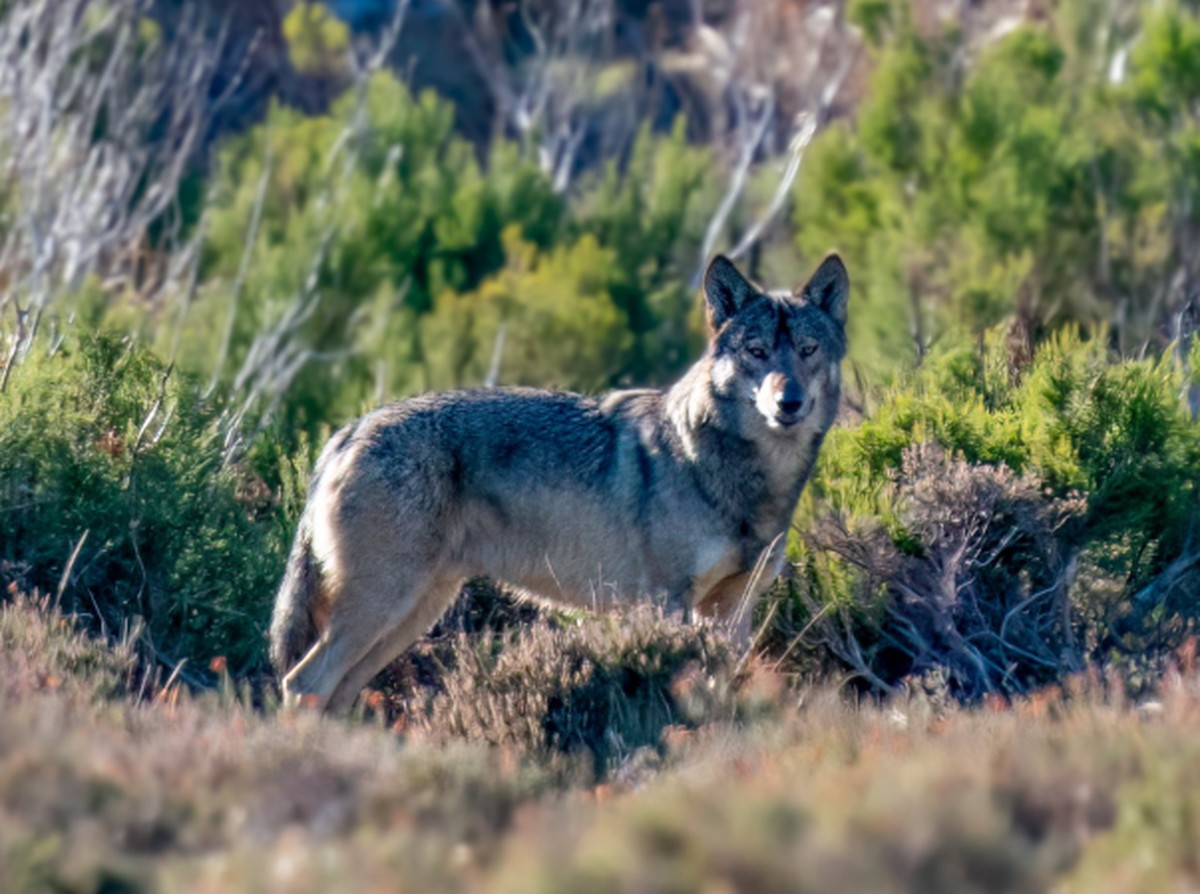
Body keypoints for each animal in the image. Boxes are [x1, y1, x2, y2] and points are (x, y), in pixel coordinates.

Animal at [270, 253, 849, 712]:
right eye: (756, 351)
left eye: (807, 349)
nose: (788, 402)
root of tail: (348, 430)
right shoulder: (667, 604)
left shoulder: (732, 613)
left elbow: (723, 694)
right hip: (384, 605)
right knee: (302, 682)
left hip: (412, 614)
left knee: (338, 691)